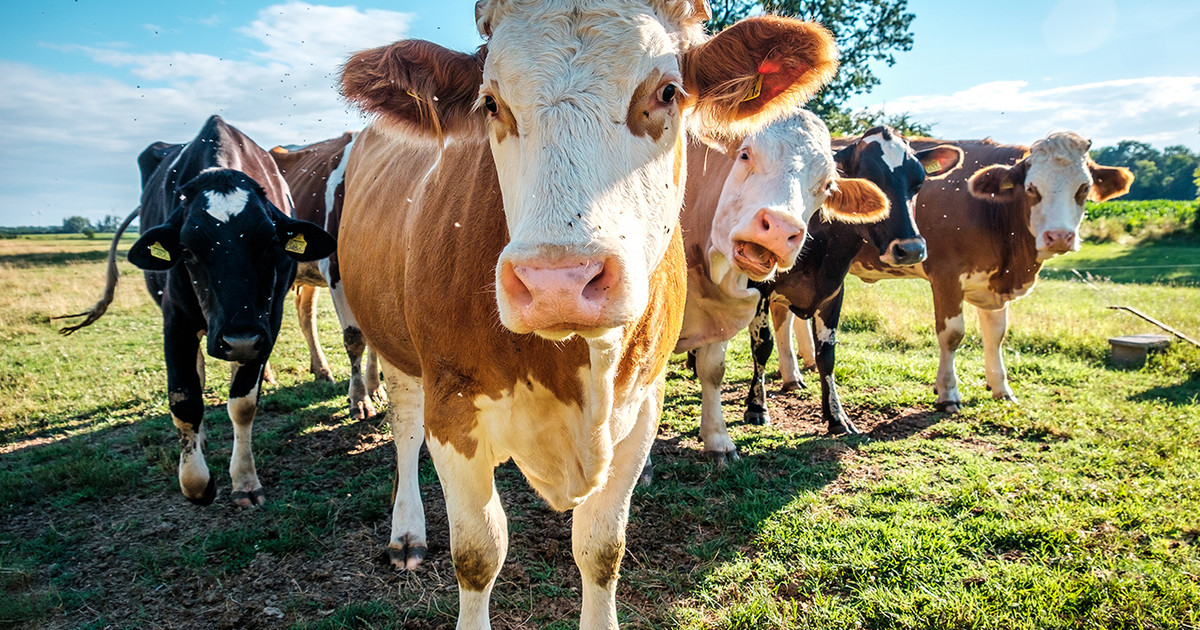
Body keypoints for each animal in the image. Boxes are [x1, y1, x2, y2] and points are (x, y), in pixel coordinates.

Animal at [55, 115, 335, 506]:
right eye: (187, 250)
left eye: (270, 244)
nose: (238, 338)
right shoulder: (176, 320)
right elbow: (185, 399)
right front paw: (196, 482)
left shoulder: (267, 323)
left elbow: (243, 402)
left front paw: (244, 479)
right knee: (198, 376)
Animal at [269, 133, 387, 421]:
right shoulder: (337, 272)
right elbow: (354, 339)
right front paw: (359, 400)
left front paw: (376, 389)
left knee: (305, 316)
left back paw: (321, 371)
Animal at [335, 1, 841, 626]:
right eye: (490, 102)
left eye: (668, 92)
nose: (559, 282)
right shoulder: (453, 410)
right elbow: (478, 554)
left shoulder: (641, 408)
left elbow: (601, 549)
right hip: (398, 348)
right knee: (405, 428)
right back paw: (406, 532)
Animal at [672, 110, 894, 464]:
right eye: (745, 154)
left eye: (826, 186)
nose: (779, 229)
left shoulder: (724, 310)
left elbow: (713, 369)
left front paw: (718, 440)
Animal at [739, 126, 963, 434]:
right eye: (871, 185)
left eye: (918, 183)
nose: (911, 249)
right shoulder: (757, 285)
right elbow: (762, 346)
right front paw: (756, 407)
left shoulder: (833, 291)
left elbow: (827, 355)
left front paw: (837, 416)